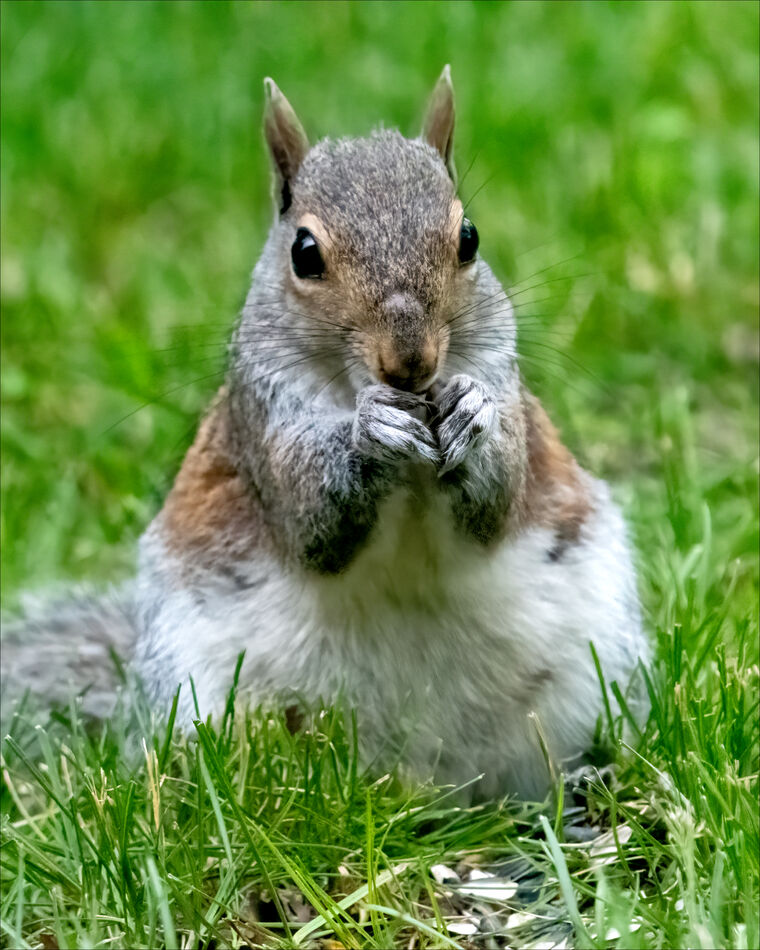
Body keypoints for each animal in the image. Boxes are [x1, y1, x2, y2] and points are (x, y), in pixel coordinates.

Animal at [2, 68, 647, 799]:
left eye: (470, 238)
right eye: (304, 253)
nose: (410, 360)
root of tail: (434, 781)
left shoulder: (502, 385)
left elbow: (497, 503)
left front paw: (472, 418)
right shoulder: (262, 419)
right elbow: (312, 520)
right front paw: (372, 431)